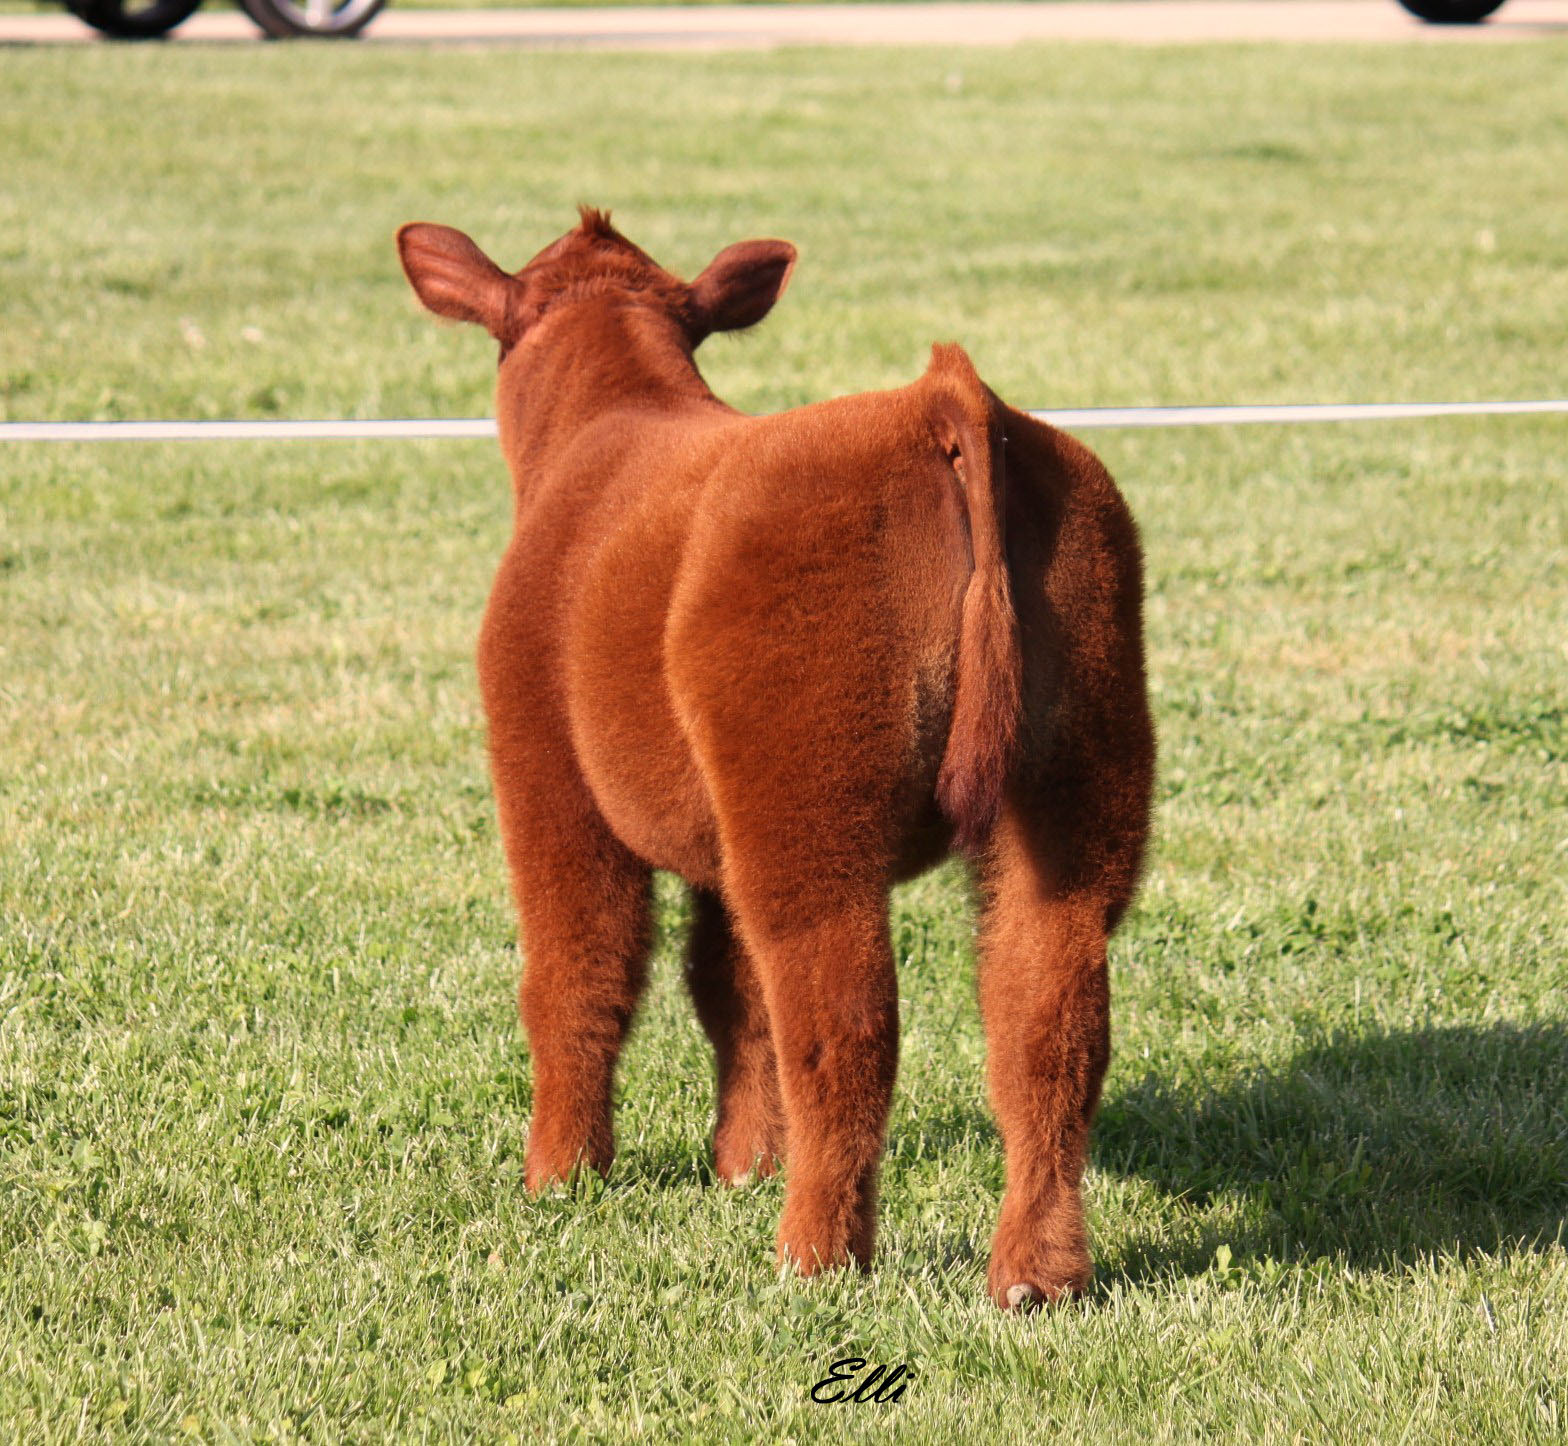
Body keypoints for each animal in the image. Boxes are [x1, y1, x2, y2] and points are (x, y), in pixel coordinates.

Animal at [396, 208, 1155, 1309]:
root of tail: (937, 400)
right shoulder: (720, 836)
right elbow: (728, 992)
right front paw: (744, 1162)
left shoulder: (547, 778)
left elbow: (579, 976)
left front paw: (563, 1175)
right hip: (1071, 793)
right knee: (1048, 1017)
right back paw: (1034, 1273)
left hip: (810, 817)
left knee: (844, 1025)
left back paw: (814, 1254)